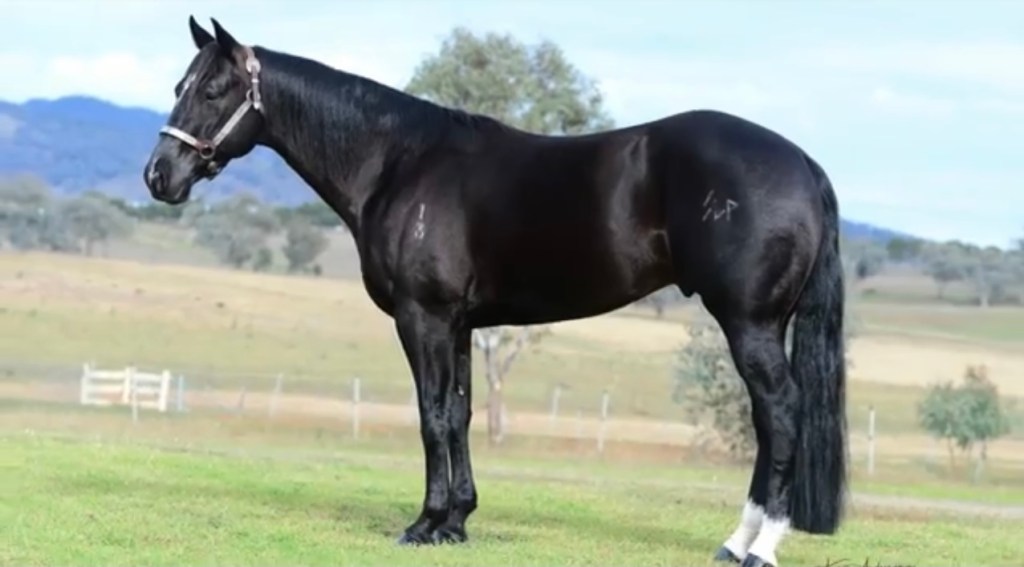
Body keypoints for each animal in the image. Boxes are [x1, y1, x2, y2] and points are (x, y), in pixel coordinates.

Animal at [142, 17, 848, 567]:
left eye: (213, 89)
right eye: (180, 87)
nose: (159, 175)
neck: (398, 162)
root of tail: (803, 163)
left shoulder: (421, 318)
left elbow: (431, 415)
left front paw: (424, 524)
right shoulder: (458, 324)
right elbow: (460, 415)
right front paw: (456, 521)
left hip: (749, 323)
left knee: (780, 412)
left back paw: (755, 545)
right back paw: (736, 543)